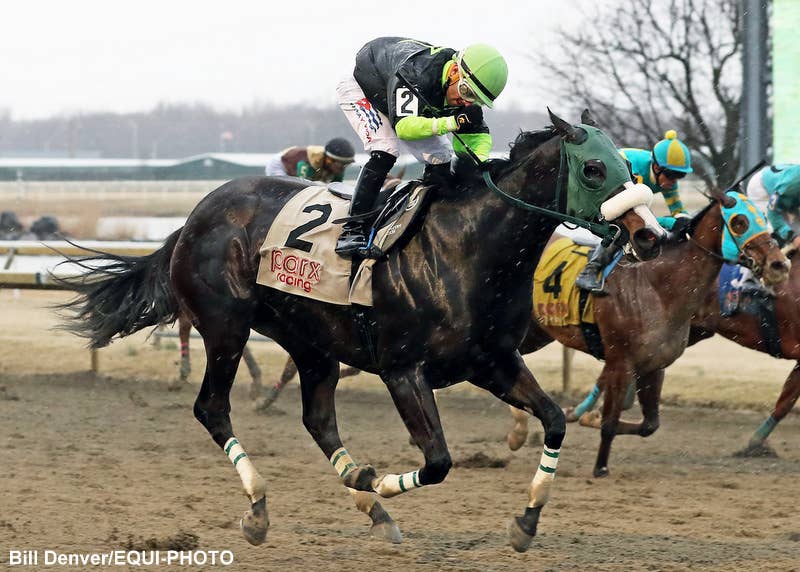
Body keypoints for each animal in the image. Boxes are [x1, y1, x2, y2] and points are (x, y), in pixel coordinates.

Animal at [58, 109, 664, 552]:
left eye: (629, 166)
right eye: (592, 169)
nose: (651, 235)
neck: (467, 247)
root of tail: (192, 218)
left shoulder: (491, 361)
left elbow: (555, 420)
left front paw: (527, 521)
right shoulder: (402, 369)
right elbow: (438, 462)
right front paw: (376, 479)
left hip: (312, 343)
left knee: (318, 420)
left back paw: (369, 507)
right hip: (226, 328)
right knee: (212, 408)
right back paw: (263, 507)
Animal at [504, 190, 790, 477]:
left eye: (763, 215)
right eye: (739, 221)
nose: (779, 264)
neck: (657, 286)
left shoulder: (653, 366)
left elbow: (649, 425)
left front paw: (588, 417)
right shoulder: (620, 362)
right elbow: (610, 421)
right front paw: (600, 466)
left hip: (535, 333)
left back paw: (518, 431)